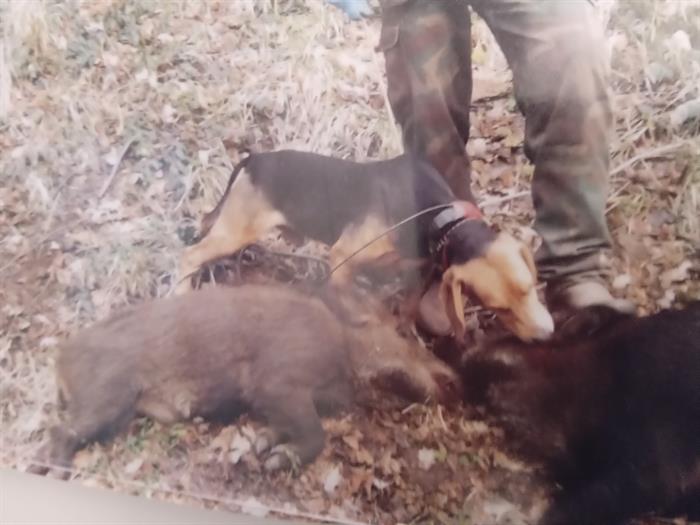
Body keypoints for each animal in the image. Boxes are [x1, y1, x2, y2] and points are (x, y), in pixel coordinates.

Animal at [176, 149, 552, 342]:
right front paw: (357, 316)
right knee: (189, 255)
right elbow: (343, 293)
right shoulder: (343, 255)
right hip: (235, 230)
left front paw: (406, 329)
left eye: (529, 287)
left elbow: (410, 304)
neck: (438, 214)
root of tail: (253, 157)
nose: (547, 335)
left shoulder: (422, 269)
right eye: (498, 307)